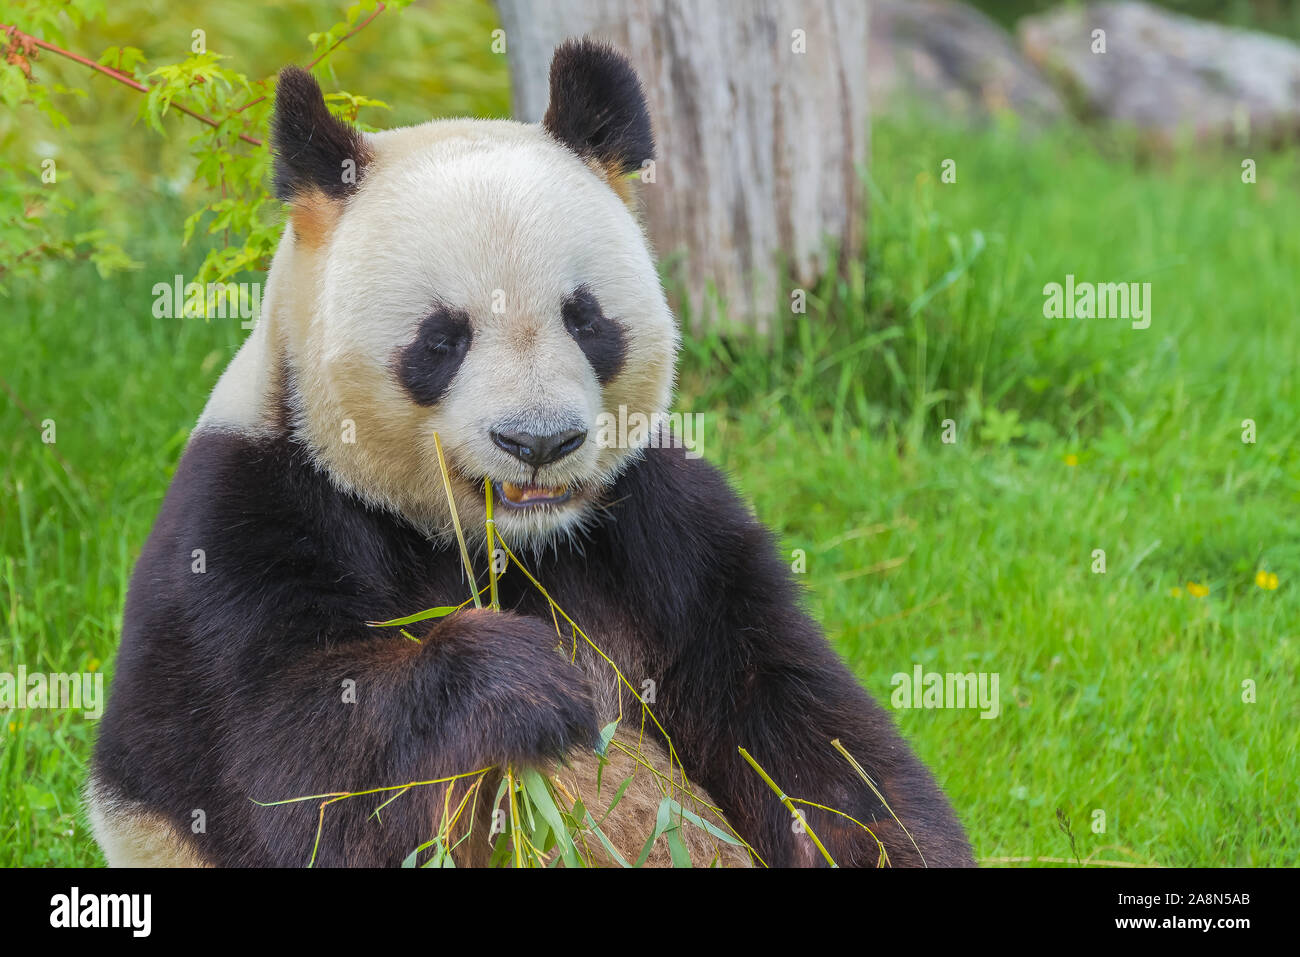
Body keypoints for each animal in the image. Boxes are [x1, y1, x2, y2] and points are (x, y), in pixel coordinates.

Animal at [88, 38, 974, 868]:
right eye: (441, 338)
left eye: (586, 318)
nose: (539, 442)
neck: (499, 541)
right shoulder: (246, 525)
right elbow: (287, 770)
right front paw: (523, 680)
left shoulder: (659, 520)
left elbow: (800, 730)